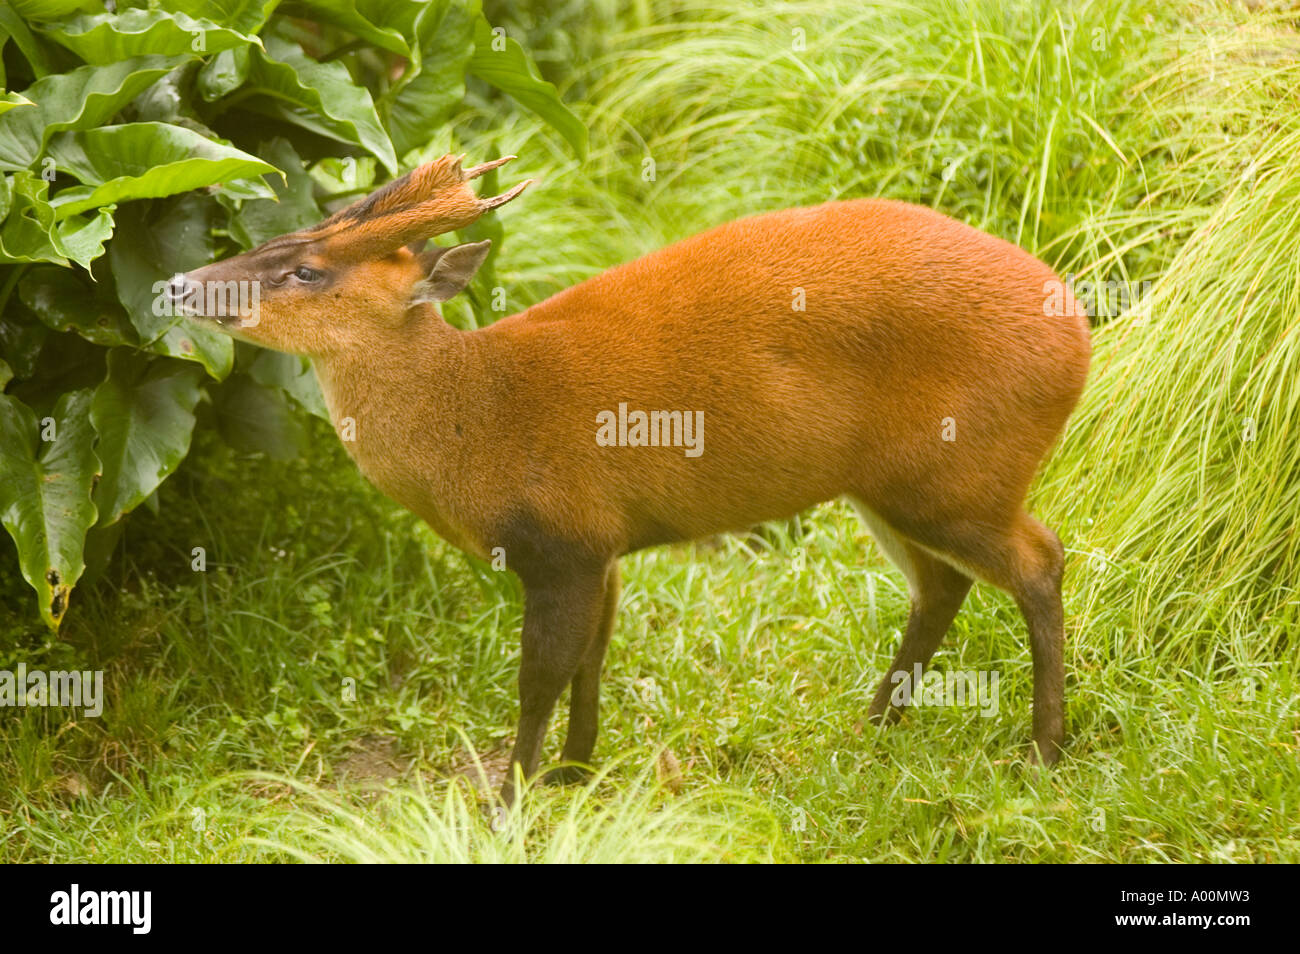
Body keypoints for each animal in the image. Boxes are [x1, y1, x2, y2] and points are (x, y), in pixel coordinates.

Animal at [170, 154, 1092, 805]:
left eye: (308, 271)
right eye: (272, 241)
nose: (179, 283)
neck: (478, 419)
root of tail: (1077, 329)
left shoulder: (563, 541)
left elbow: (540, 674)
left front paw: (506, 803)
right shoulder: (605, 545)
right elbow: (592, 660)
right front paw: (573, 775)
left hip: (957, 474)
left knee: (1040, 560)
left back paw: (1042, 755)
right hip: (895, 488)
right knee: (943, 585)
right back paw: (871, 729)